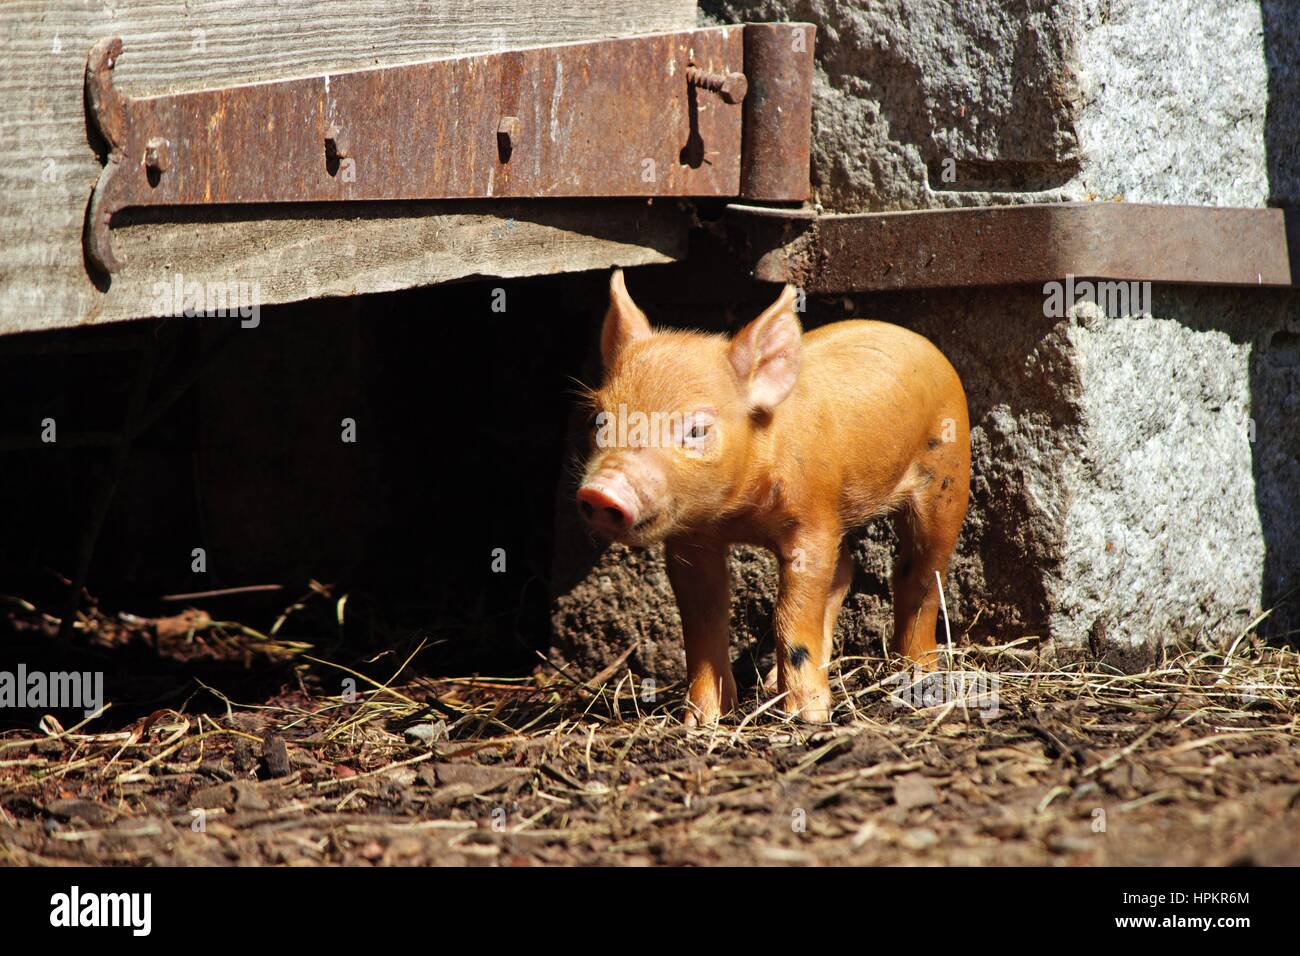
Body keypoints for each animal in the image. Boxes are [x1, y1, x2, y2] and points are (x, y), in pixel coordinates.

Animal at [576, 270, 970, 725]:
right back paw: (768, 687)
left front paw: (807, 716)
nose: (602, 491)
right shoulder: (692, 539)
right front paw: (703, 720)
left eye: (696, 430)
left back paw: (917, 676)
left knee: (920, 574)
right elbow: (703, 618)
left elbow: (790, 610)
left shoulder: (812, 516)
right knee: (845, 570)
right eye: (599, 420)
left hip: (948, 471)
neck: (740, 515)